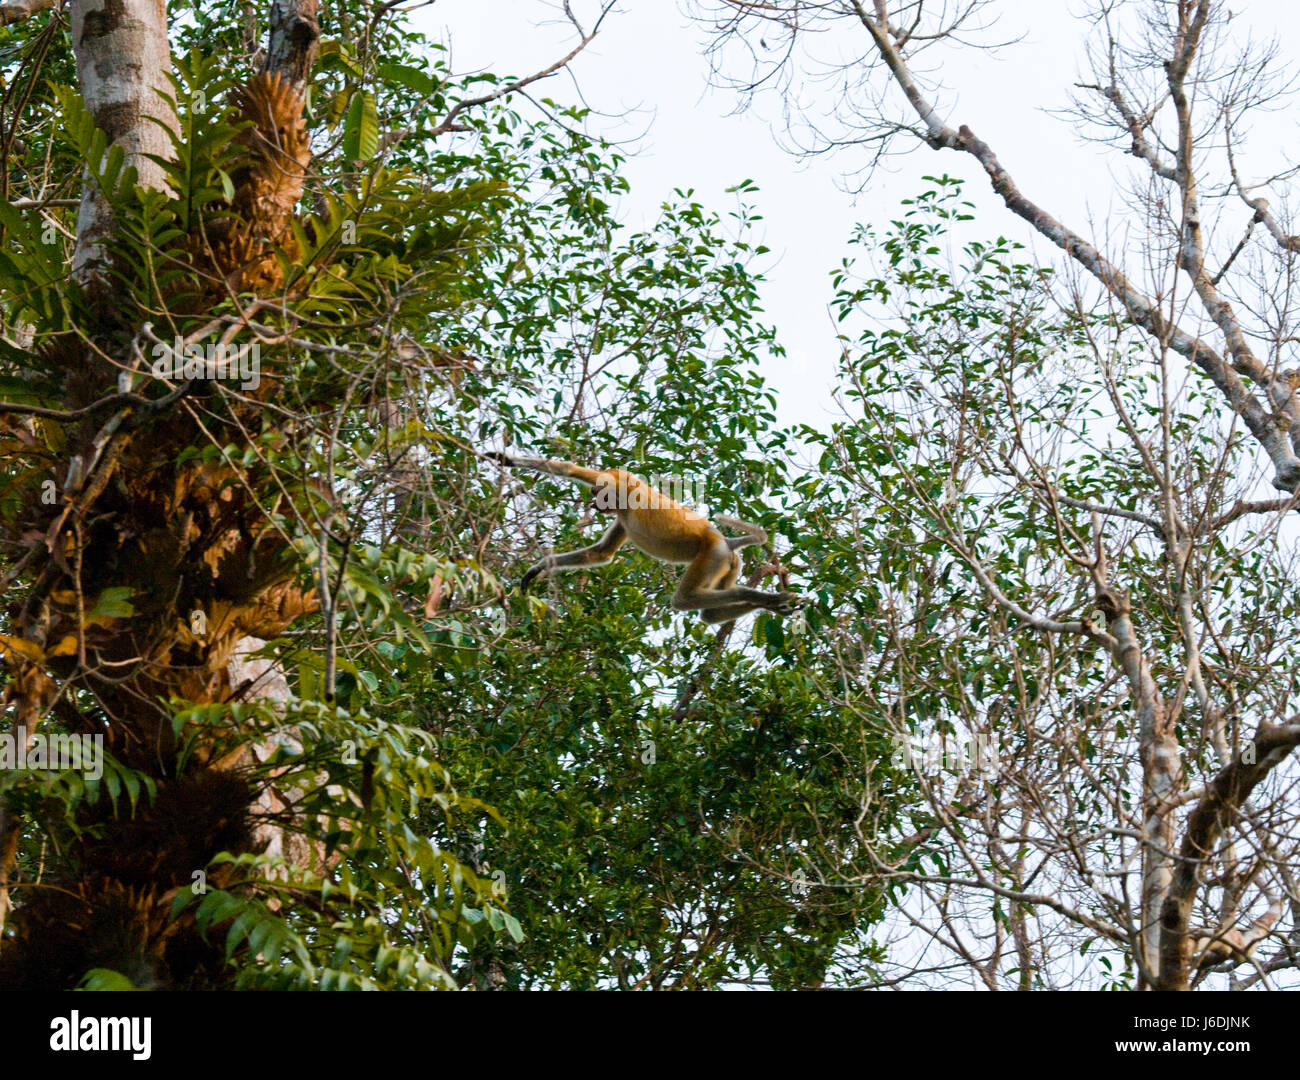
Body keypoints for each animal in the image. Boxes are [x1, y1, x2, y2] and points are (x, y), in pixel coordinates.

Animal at [488, 453, 801, 625]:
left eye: (597, 493)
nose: (594, 501)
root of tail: (725, 541)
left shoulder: (620, 486)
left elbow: (570, 469)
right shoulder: (622, 513)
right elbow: (602, 553)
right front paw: (537, 568)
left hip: (712, 553)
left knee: (684, 599)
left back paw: (764, 597)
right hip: (728, 563)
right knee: (708, 614)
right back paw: (770, 604)